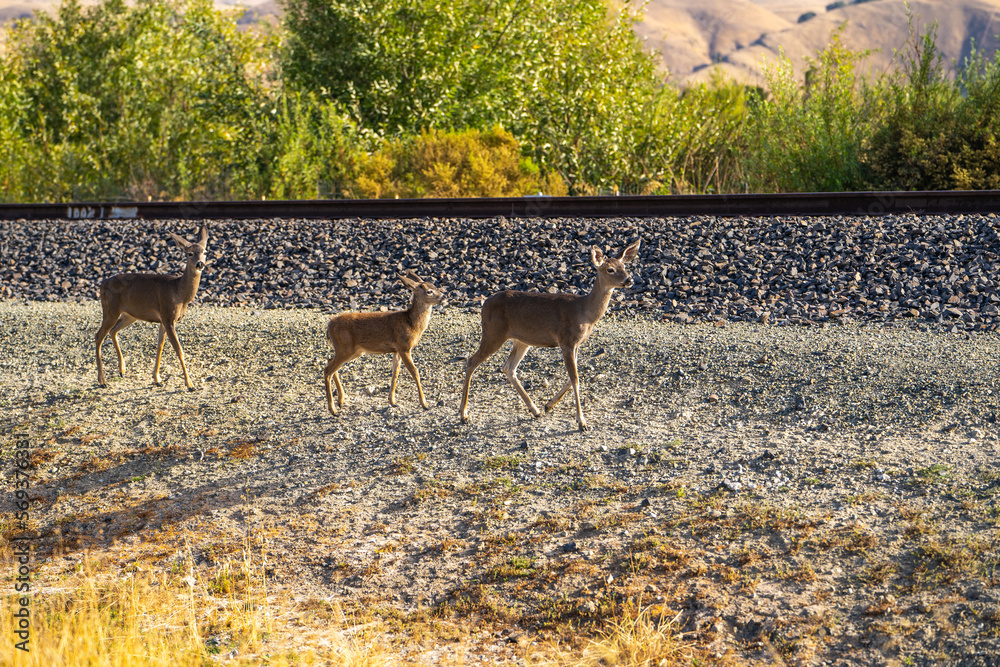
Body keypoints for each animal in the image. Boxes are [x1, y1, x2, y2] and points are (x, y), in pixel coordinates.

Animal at [95, 226, 208, 390]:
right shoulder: (168, 317)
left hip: (130, 315)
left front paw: (157, 379)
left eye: (205, 252)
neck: (179, 292)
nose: (200, 264)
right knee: (99, 336)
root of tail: (102, 284)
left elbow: (160, 346)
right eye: (190, 253)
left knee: (113, 331)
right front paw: (190, 384)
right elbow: (179, 350)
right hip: (110, 310)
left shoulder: (163, 320)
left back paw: (122, 370)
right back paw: (102, 381)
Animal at [323, 271, 446, 415]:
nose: (444, 296)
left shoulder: (396, 350)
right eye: (429, 291)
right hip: (345, 348)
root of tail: (329, 326)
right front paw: (424, 404)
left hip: (353, 351)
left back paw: (341, 400)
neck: (411, 323)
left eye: (435, 286)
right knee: (327, 370)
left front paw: (392, 401)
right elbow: (415, 371)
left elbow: (395, 372)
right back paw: (333, 409)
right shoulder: (404, 346)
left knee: (329, 362)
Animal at [459, 239, 641, 432]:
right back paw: (463, 414)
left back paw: (535, 410)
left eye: (624, 266)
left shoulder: (576, 343)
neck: (585, 312)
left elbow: (572, 377)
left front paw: (549, 405)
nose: (629, 280)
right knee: (472, 361)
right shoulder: (566, 340)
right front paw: (581, 421)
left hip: (522, 340)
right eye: (610, 269)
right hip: (493, 332)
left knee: (508, 367)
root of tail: (484, 304)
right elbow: (575, 379)